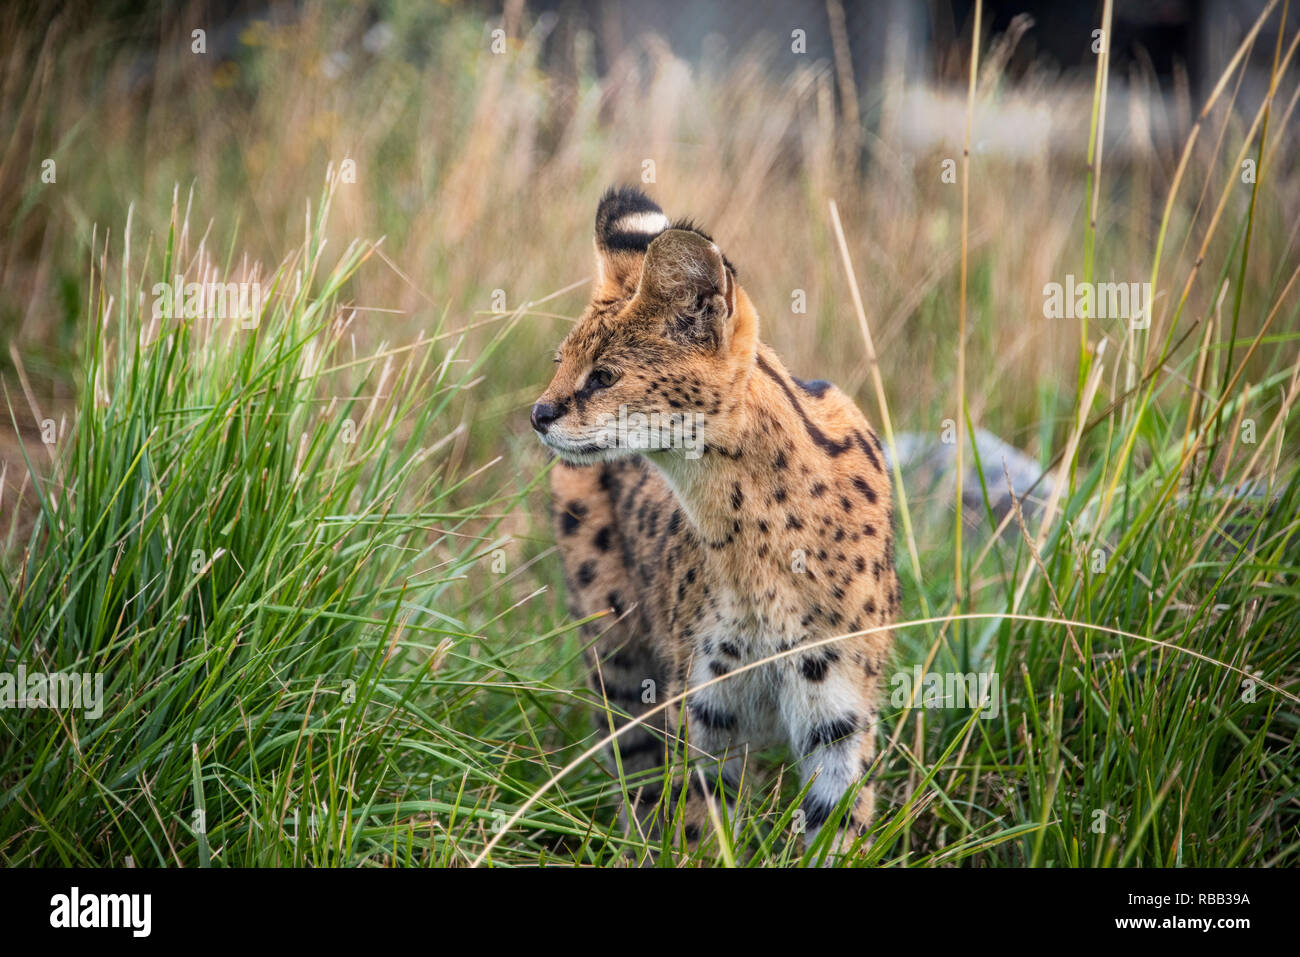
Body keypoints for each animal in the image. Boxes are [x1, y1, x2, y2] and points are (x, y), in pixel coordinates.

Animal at [531, 186, 899, 858]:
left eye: (604, 376)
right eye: (561, 361)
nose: (539, 414)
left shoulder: (839, 710)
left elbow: (839, 828)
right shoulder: (704, 705)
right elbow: (699, 825)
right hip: (616, 652)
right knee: (635, 776)